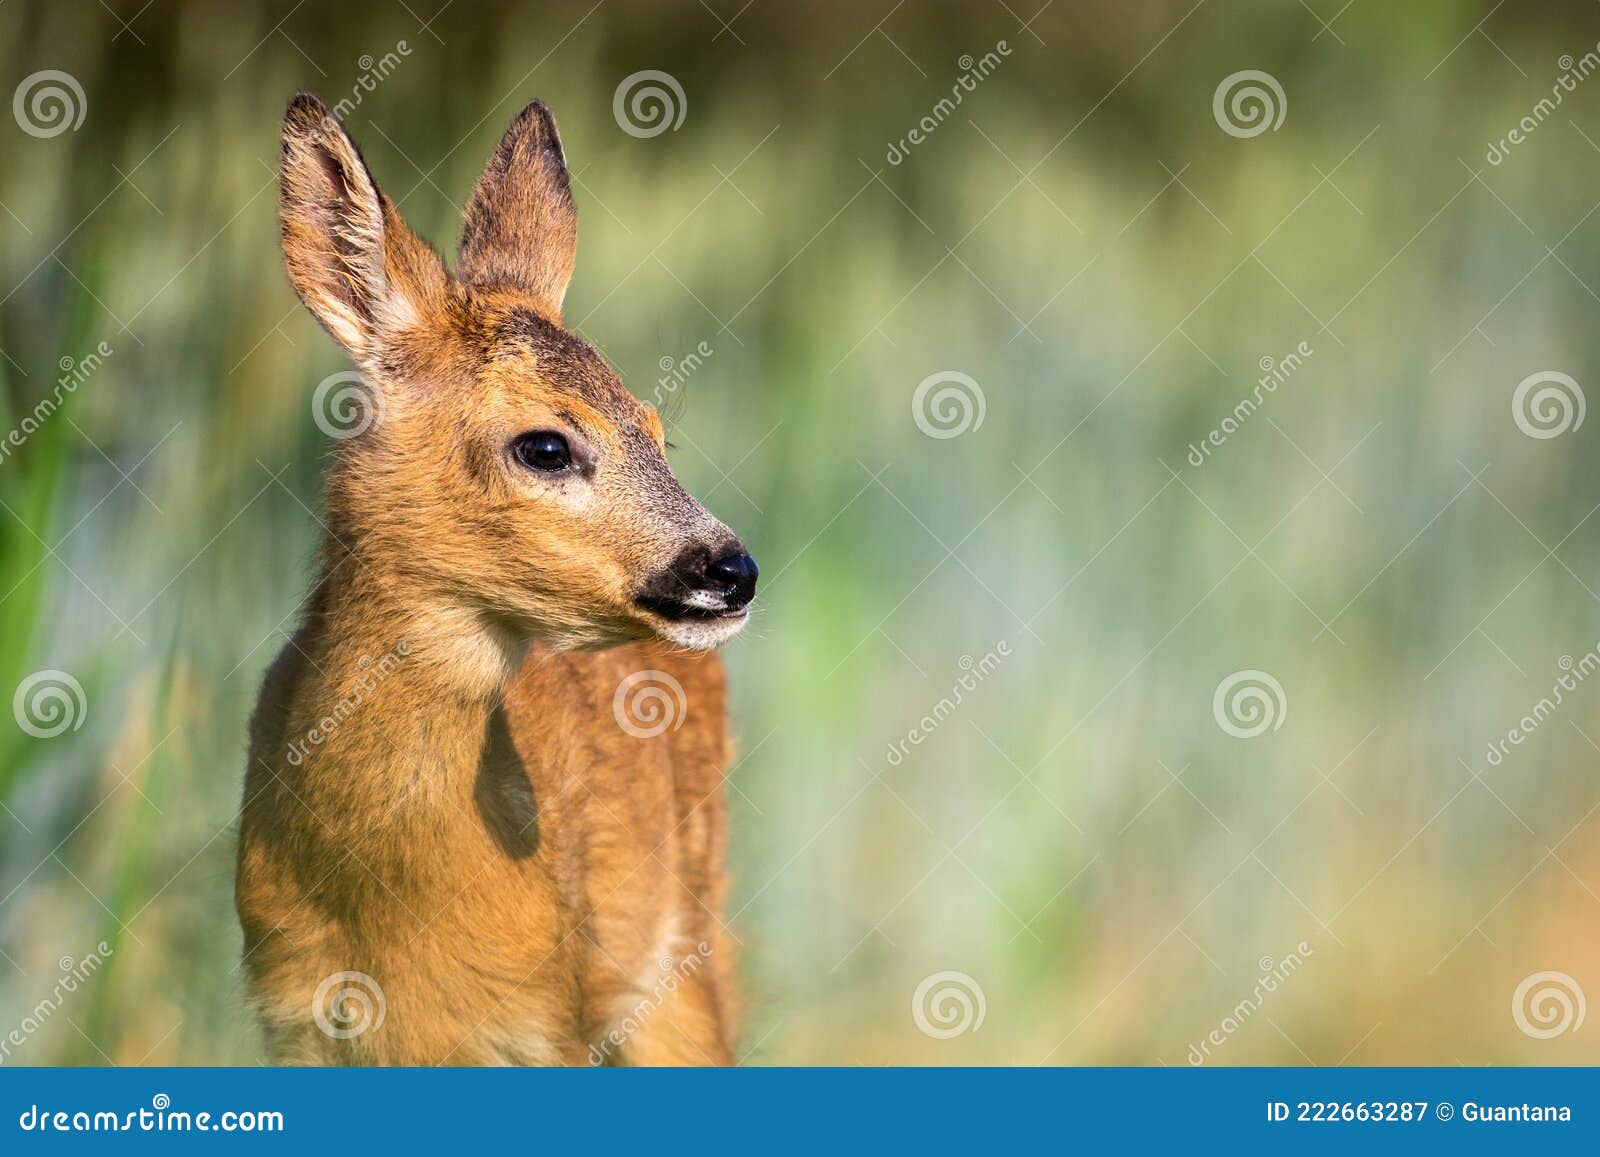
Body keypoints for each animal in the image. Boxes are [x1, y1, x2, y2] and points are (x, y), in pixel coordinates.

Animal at [234, 92, 758, 1066]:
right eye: (545, 445)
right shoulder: (294, 1017)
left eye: (657, 430)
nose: (731, 569)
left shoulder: (544, 1021)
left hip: (681, 960)